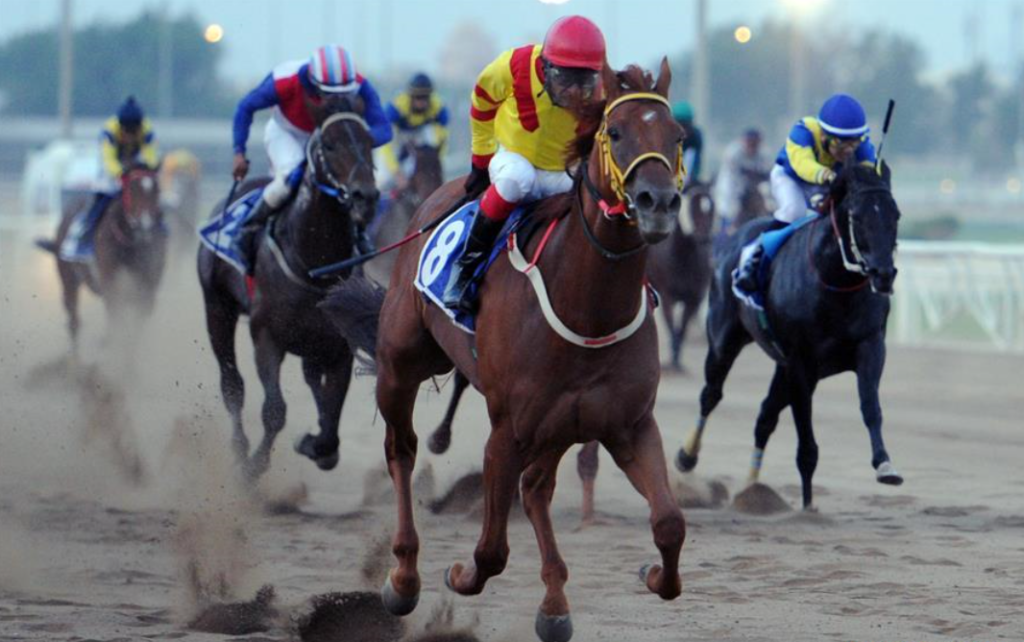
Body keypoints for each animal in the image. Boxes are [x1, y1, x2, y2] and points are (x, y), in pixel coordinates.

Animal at [39, 162, 166, 349]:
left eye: (157, 189)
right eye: (132, 189)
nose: (146, 224)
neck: (130, 246)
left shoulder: (147, 290)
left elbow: (135, 331)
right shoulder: (111, 285)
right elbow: (117, 325)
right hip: (68, 278)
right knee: (73, 320)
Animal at [196, 97, 378, 479]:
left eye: (370, 140)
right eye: (329, 144)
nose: (364, 196)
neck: (314, 265)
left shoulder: (339, 347)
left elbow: (331, 422)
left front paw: (314, 445)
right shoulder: (267, 337)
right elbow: (274, 410)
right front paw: (252, 467)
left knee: (311, 380)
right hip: (217, 308)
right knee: (232, 384)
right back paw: (240, 448)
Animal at [323, 61, 686, 642]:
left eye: (677, 137)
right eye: (616, 133)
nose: (659, 203)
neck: (588, 306)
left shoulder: (627, 425)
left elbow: (670, 523)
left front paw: (651, 574)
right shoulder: (507, 429)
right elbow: (490, 550)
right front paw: (456, 574)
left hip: (559, 426)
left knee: (537, 486)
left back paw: (555, 602)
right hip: (402, 365)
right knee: (402, 450)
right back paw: (403, 577)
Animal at [675, 161, 902, 510]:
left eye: (895, 214)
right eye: (857, 216)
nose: (884, 274)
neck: (833, 282)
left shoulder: (869, 346)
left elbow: (869, 406)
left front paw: (885, 465)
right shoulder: (800, 363)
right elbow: (806, 442)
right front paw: (807, 509)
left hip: (782, 367)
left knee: (764, 417)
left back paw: (752, 492)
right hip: (725, 341)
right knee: (711, 394)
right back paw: (687, 457)